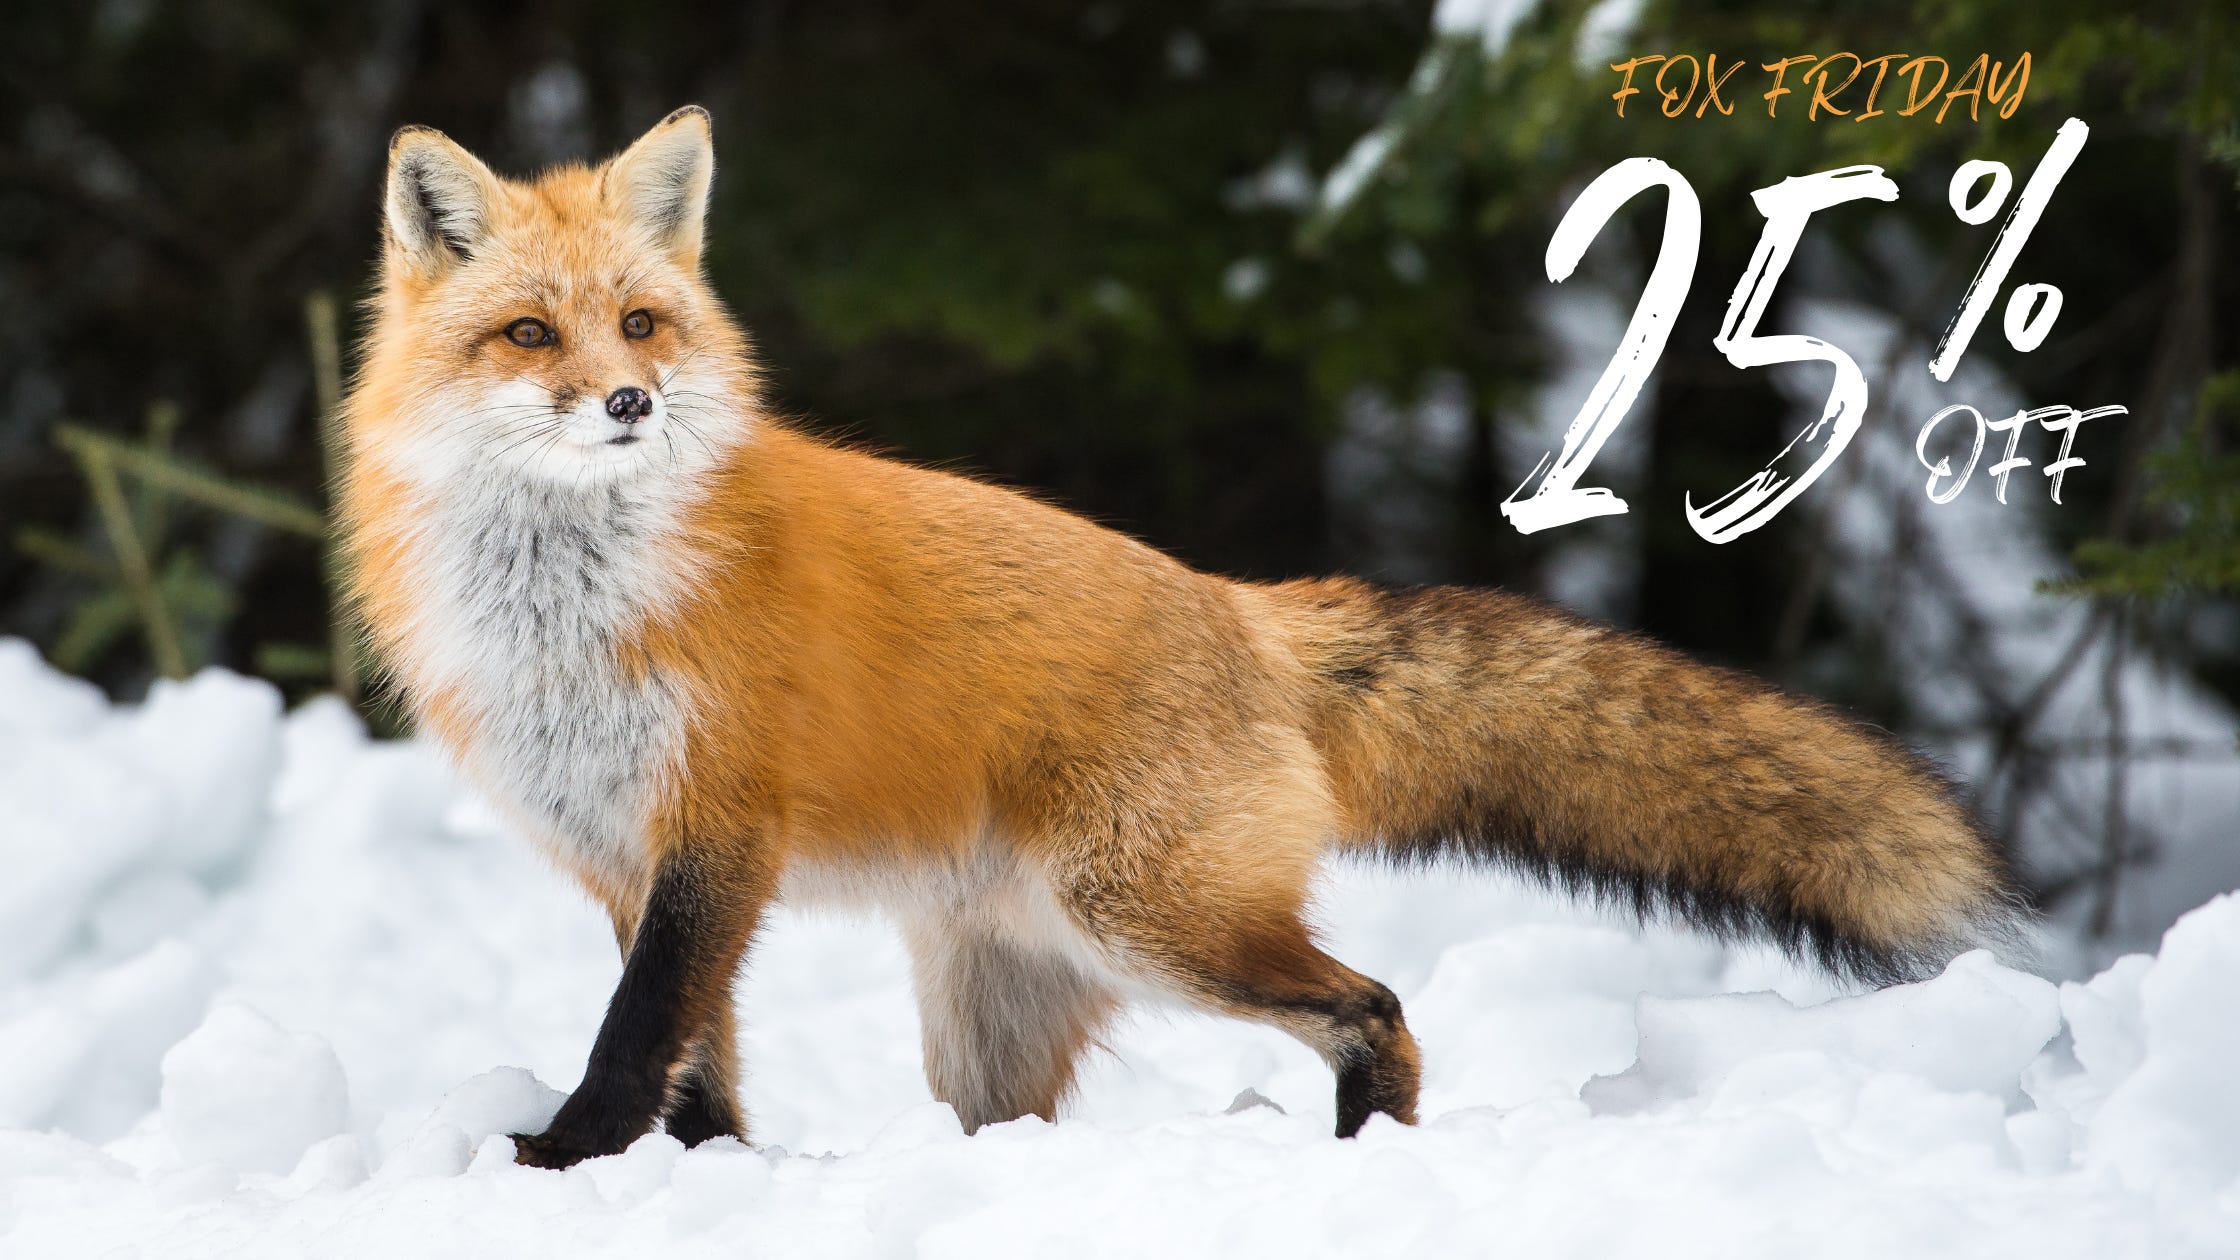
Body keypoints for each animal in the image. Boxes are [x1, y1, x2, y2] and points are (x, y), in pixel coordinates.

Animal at [341, 106, 2031, 1169]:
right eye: (529, 334)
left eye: (639, 324)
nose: (630, 401)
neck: (571, 607)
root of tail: (1241, 608)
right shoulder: (624, 855)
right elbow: (696, 1061)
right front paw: (701, 1179)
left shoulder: (717, 834)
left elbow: (640, 1038)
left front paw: (565, 1161)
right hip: (1000, 1011)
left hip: (1153, 921)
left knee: (1378, 1011)